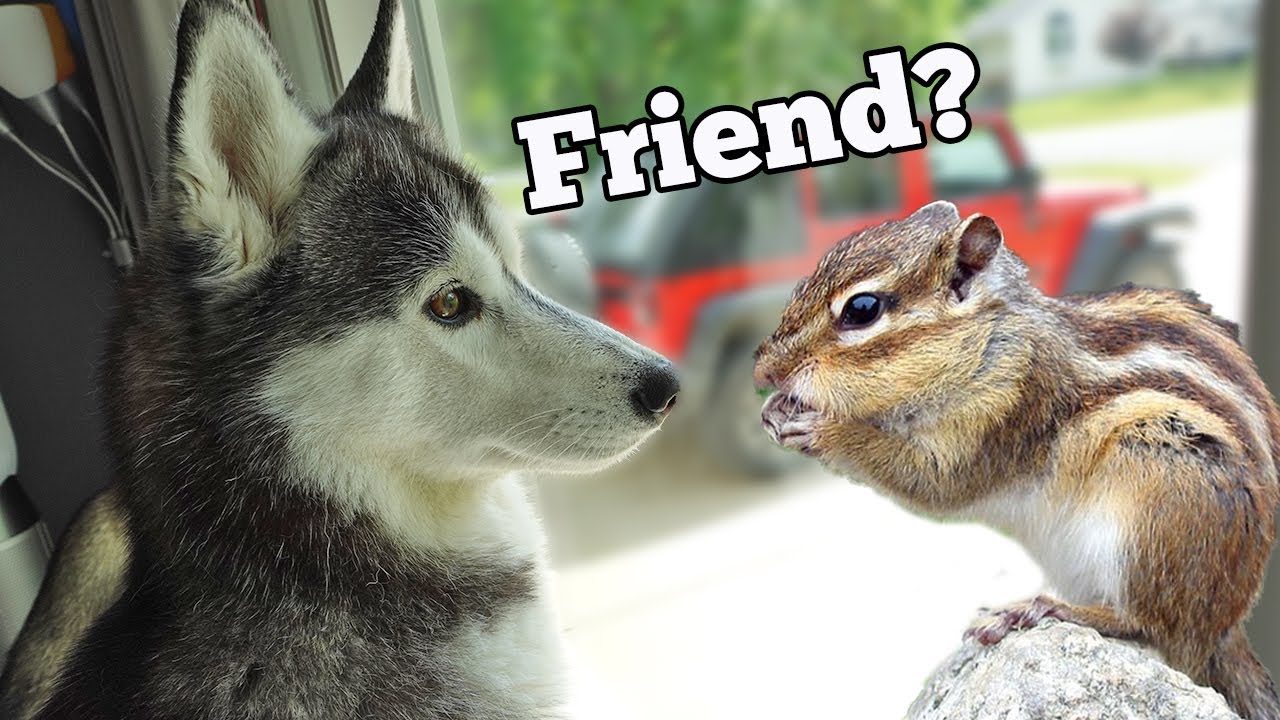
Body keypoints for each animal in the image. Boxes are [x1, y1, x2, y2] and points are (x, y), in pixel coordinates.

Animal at [754, 200, 1280, 720]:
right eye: (801, 284)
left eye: (862, 310)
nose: (764, 370)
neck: (987, 339)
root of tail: (1225, 629)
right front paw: (775, 409)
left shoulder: (1011, 406)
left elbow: (934, 482)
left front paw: (825, 430)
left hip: (1158, 500)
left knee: (1150, 626)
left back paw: (1038, 610)